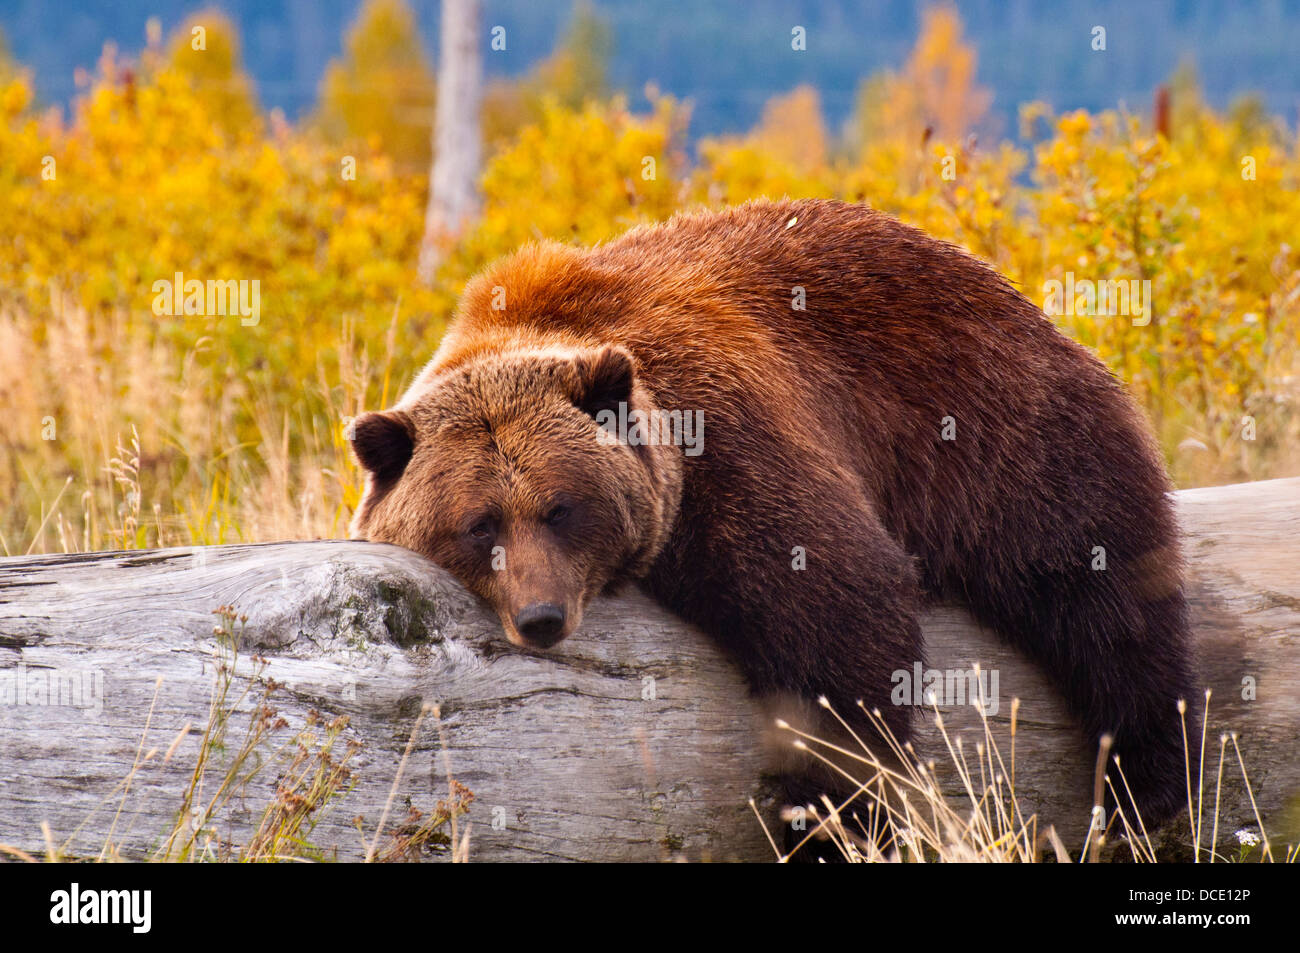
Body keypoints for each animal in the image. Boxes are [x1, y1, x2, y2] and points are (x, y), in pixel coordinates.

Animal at [349, 198, 1196, 837]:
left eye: (561, 507)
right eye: (479, 524)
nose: (542, 616)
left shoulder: (728, 438)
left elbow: (837, 614)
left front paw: (828, 818)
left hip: (999, 427)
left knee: (1099, 590)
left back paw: (1145, 779)